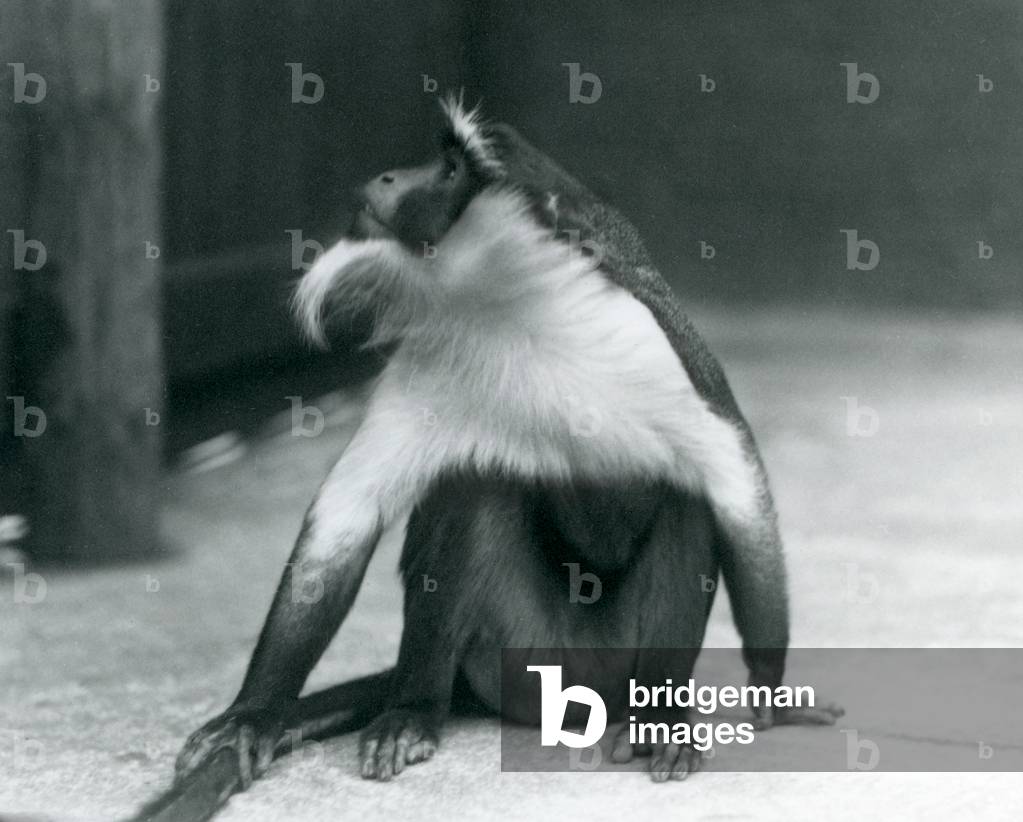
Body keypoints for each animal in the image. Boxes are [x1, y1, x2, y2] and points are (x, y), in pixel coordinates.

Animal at [170, 94, 843, 801]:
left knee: (685, 498)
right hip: (516, 658)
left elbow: (740, 495)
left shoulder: (659, 347)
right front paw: (251, 716)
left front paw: (772, 693)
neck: (516, 307)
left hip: (609, 667)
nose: (386, 176)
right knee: (471, 486)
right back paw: (414, 710)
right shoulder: (432, 354)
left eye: (448, 168)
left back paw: (656, 717)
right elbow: (344, 524)